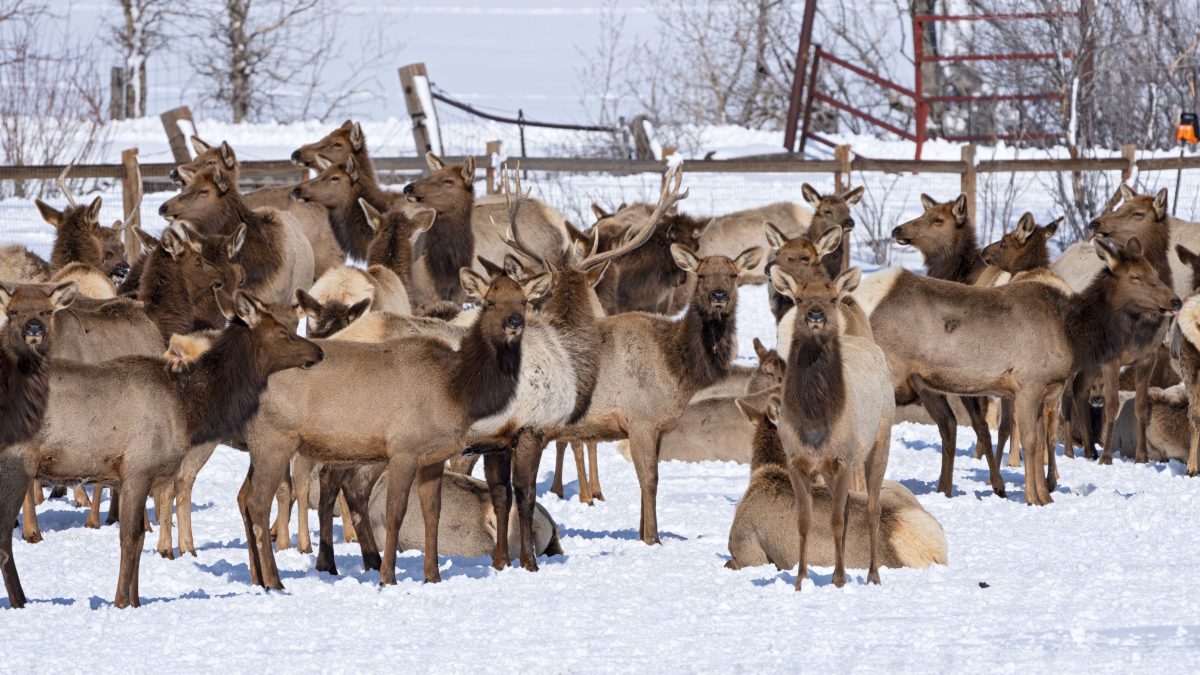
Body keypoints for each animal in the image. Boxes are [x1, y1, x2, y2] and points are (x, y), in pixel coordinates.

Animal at [854, 236, 1179, 505]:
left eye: (1155, 272)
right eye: (1135, 277)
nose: (1175, 300)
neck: (1072, 333)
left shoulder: (1044, 389)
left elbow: (1038, 440)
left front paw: (1044, 495)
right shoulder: (1028, 384)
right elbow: (1031, 442)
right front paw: (1035, 498)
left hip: (920, 383)